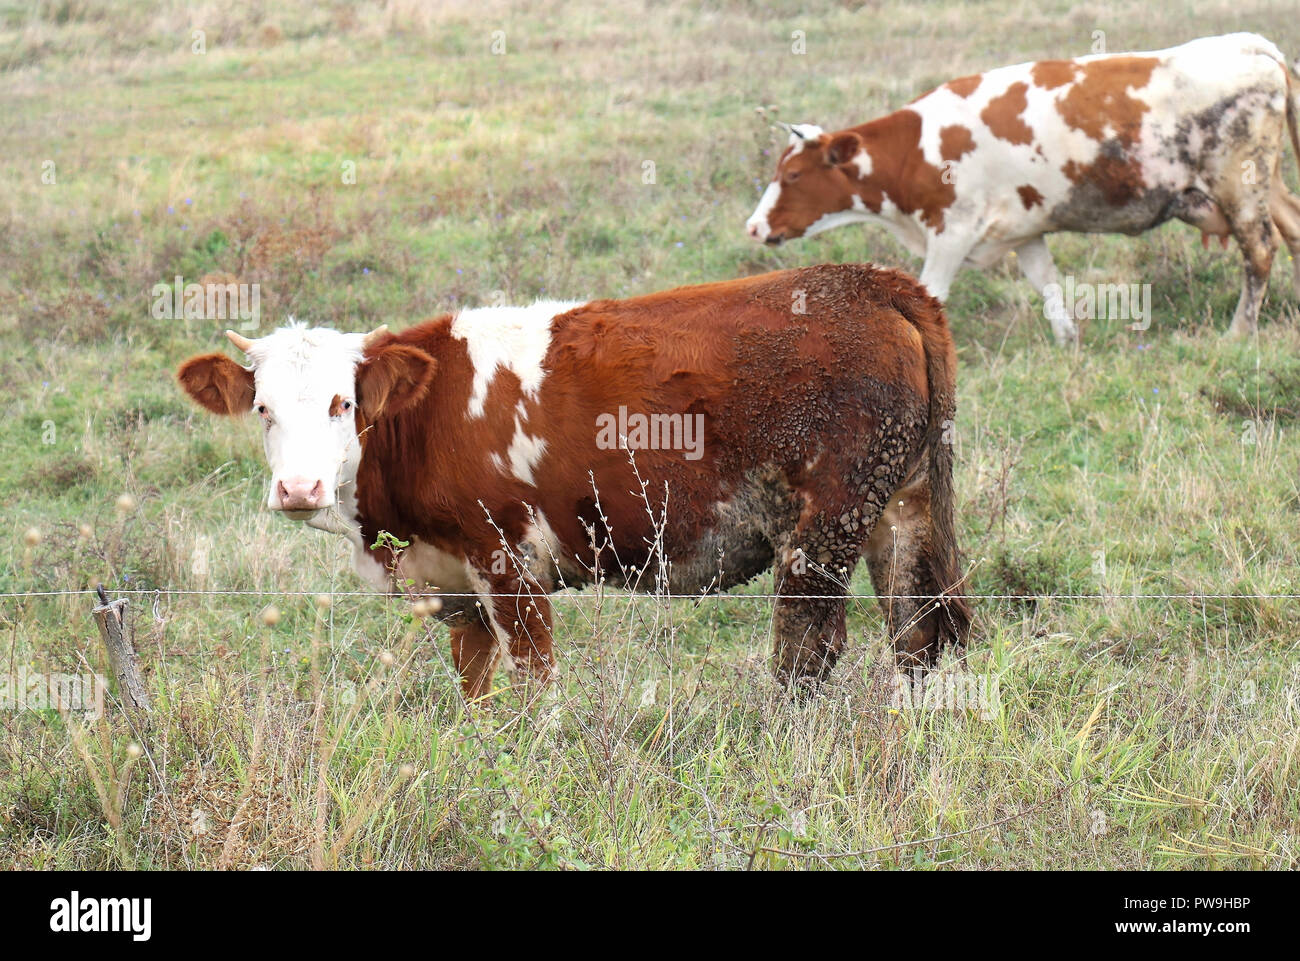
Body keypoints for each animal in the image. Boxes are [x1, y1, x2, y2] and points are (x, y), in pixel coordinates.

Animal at [176, 264, 971, 699]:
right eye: (262, 408)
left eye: (343, 403)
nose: (298, 488)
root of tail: (873, 284)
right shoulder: (457, 585)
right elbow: (475, 688)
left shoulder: (510, 564)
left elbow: (536, 687)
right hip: (901, 508)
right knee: (922, 634)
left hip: (823, 528)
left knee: (808, 650)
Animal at [745, 33, 1300, 344]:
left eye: (792, 176)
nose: (752, 227)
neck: (919, 145)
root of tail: (1248, 43)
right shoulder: (1024, 231)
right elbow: (1046, 283)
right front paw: (1068, 339)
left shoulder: (952, 230)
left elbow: (932, 293)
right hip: (1266, 186)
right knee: (1292, 229)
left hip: (1239, 186)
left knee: (1261, 251)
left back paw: (1238, 332)